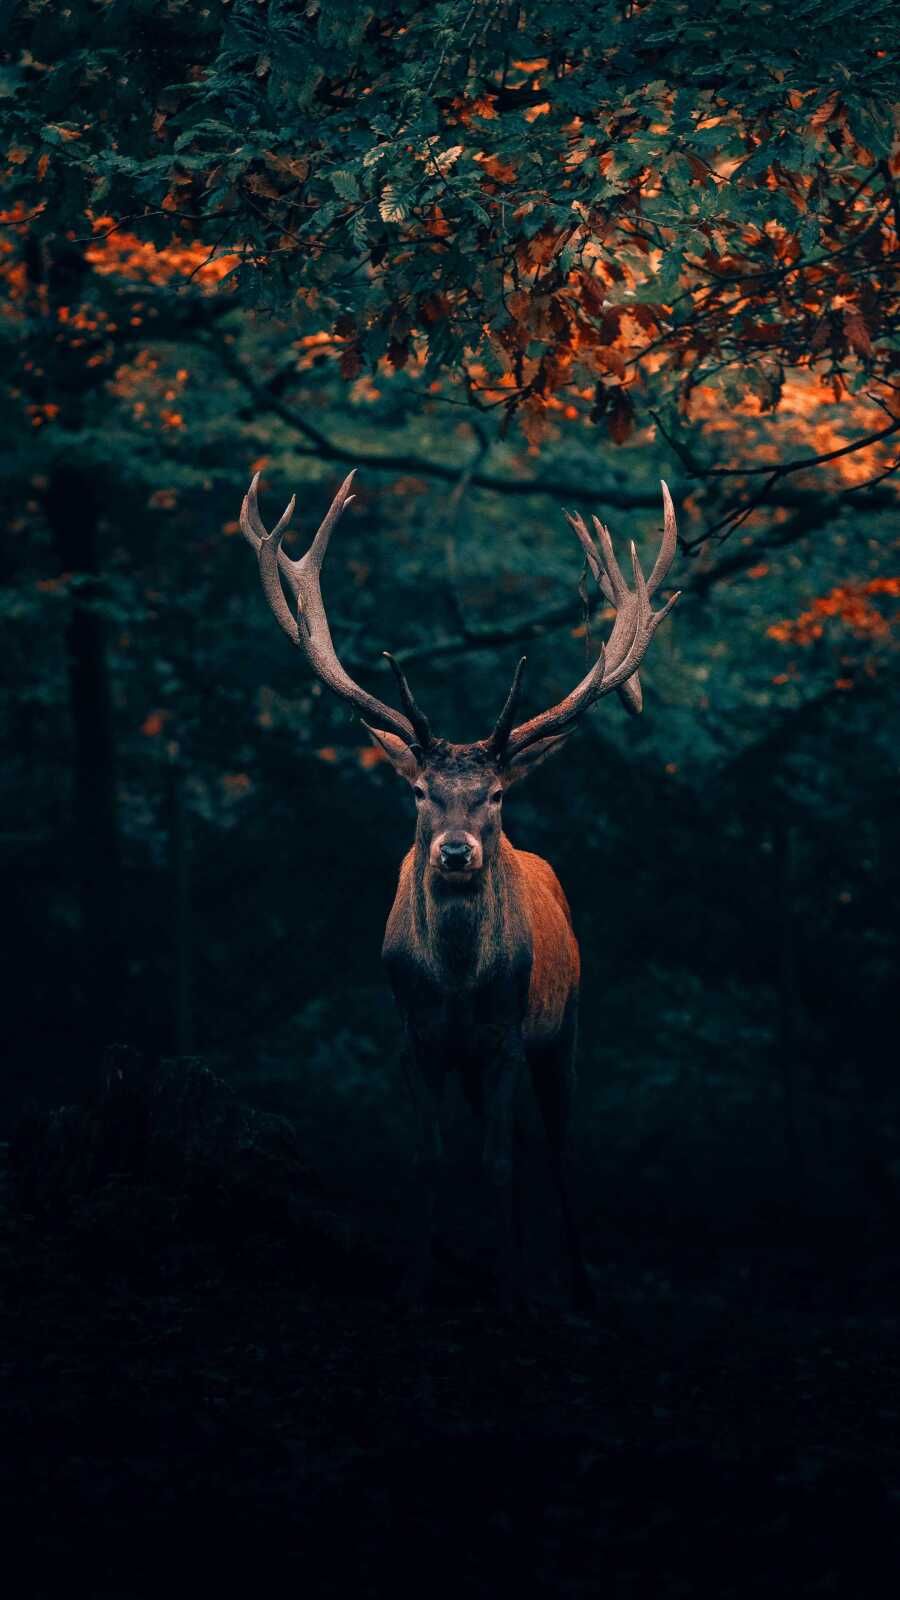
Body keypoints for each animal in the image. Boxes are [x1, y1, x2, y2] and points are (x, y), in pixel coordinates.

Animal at [240, 470, 679, 1311]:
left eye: (497, 795)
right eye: (418, 791)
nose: (455, 852)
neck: (454, 984)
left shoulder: (506, 1035)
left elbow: (501, 1160)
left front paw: (512, 1291)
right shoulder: (415, 1039)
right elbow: (432, 1156)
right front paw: (418, 1282)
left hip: (565, 1026)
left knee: (554, 1147)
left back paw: (577, 1286)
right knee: (513, 1140)